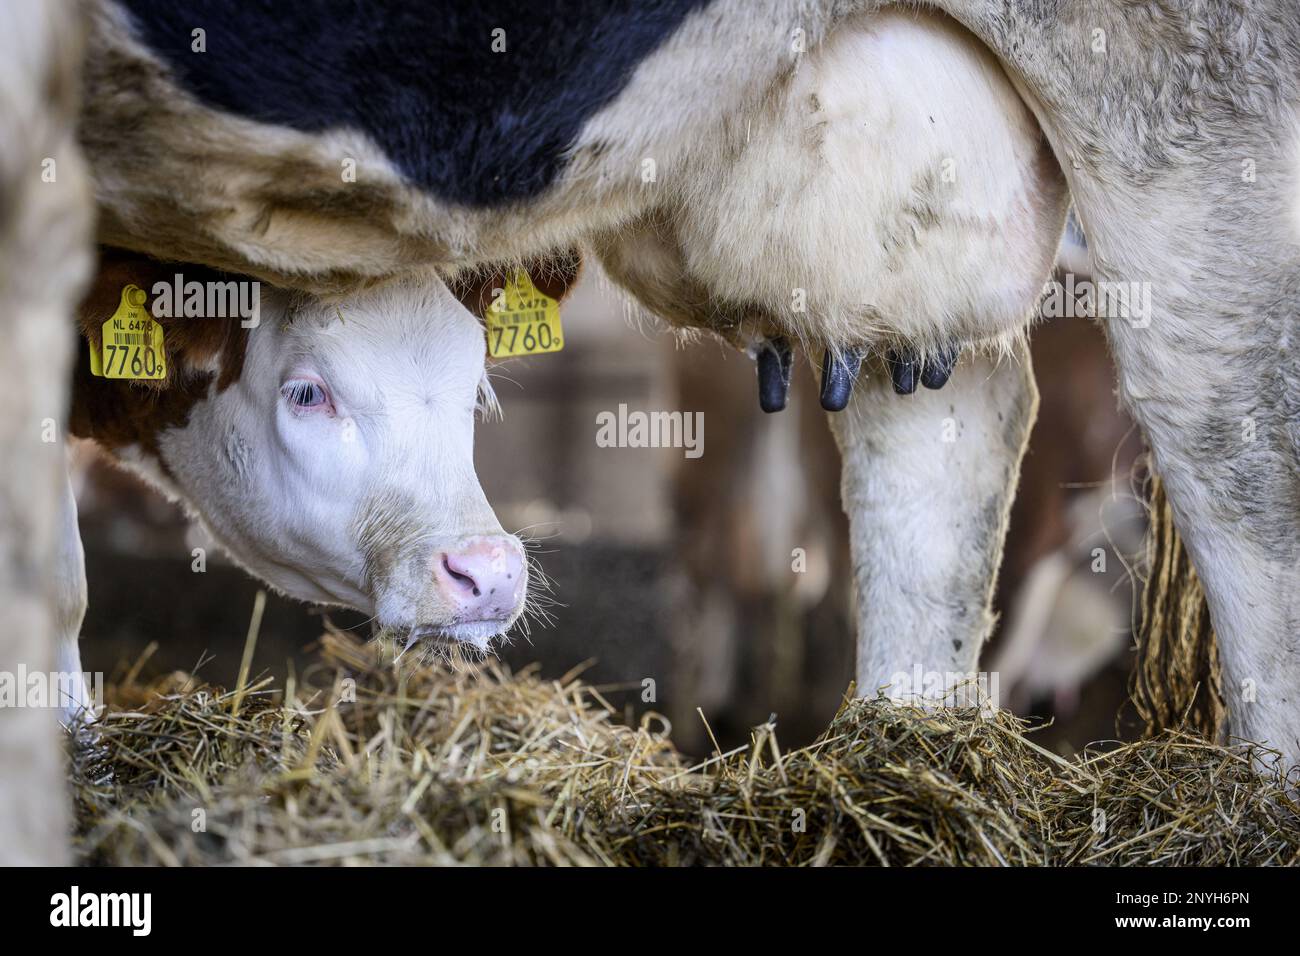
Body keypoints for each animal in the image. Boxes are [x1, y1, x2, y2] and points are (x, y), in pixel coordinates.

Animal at [1, 0, 1296, 862]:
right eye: (306, 391)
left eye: (476, 392)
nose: (486, 570)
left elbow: (49, 574)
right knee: (944, 425)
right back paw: (907, 752)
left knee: (1237, 451)